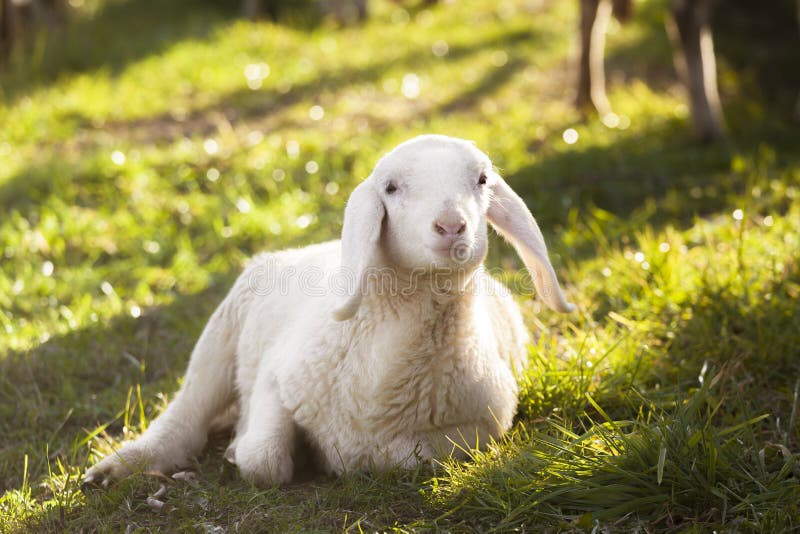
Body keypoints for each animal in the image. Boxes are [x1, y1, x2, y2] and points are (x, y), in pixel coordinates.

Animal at [83, 134, 575, 487]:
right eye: (390, 188)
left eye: (482, 180)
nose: (452, 226)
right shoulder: (276, 377)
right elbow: (264, 462)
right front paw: (245, 447)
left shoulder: (479, 427)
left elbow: (399, 456)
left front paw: (336, 455)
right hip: (222, 336)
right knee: (187, 414)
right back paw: (117, 468)